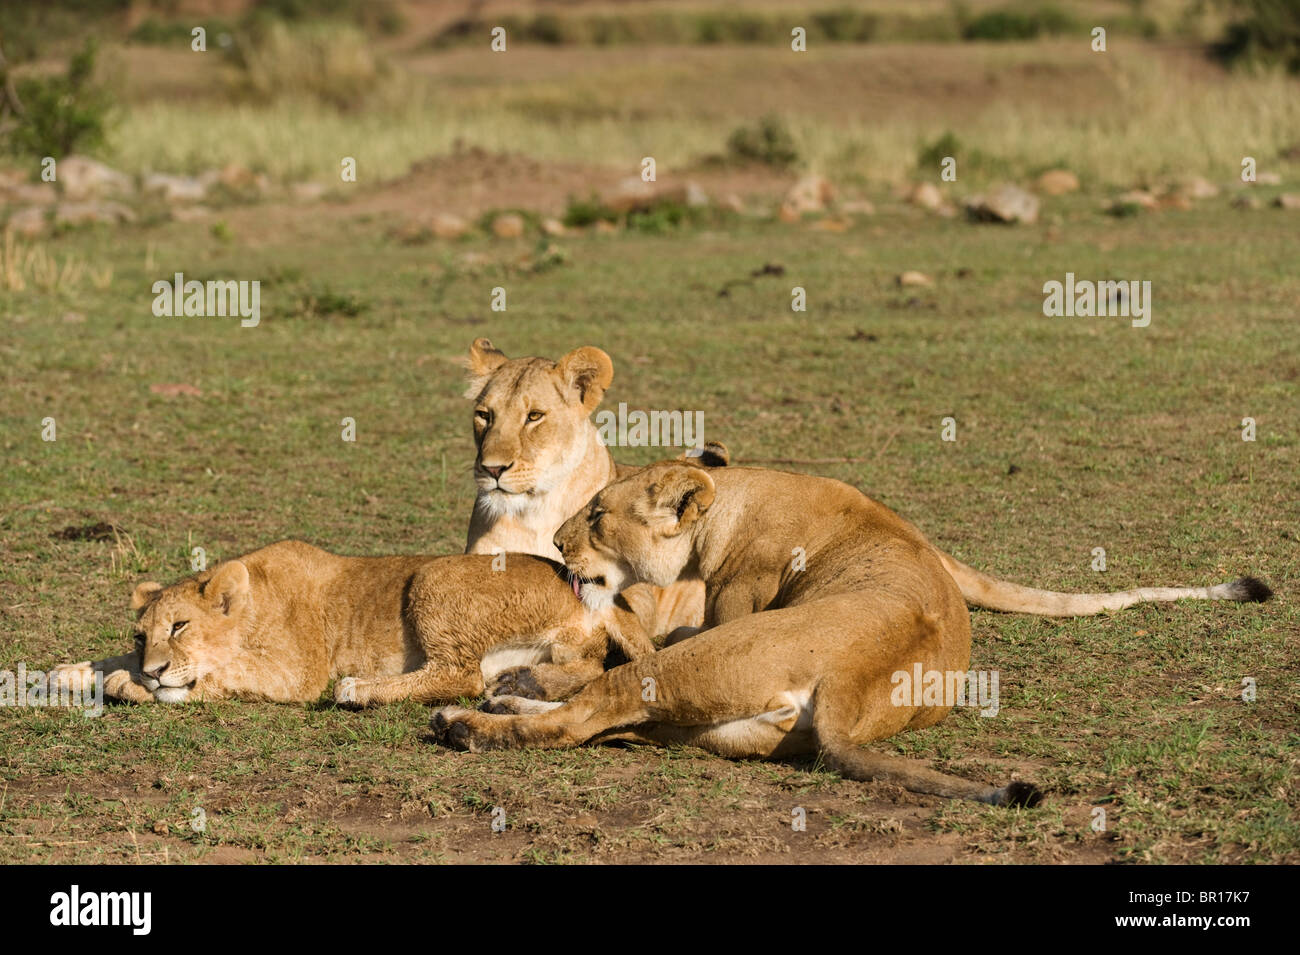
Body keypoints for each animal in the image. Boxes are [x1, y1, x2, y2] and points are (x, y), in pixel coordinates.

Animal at [49, 540, 653, 706]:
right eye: (141, 634)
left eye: (178, 627)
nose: (153, 666)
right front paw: (68, 672)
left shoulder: (299, 672)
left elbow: (215, 677)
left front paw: (130, 683)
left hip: (431, 576)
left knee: (458, 675)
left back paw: (358, 690)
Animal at [434, 463, 1272, 805]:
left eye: (600, 515)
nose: (556, 546)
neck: (738, 496)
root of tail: (849, 681)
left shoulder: (731, 602)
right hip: (709, 722)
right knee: (609, 721)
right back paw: (500, 702)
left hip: (704, 666)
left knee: (588, 714)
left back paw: (470, 721)